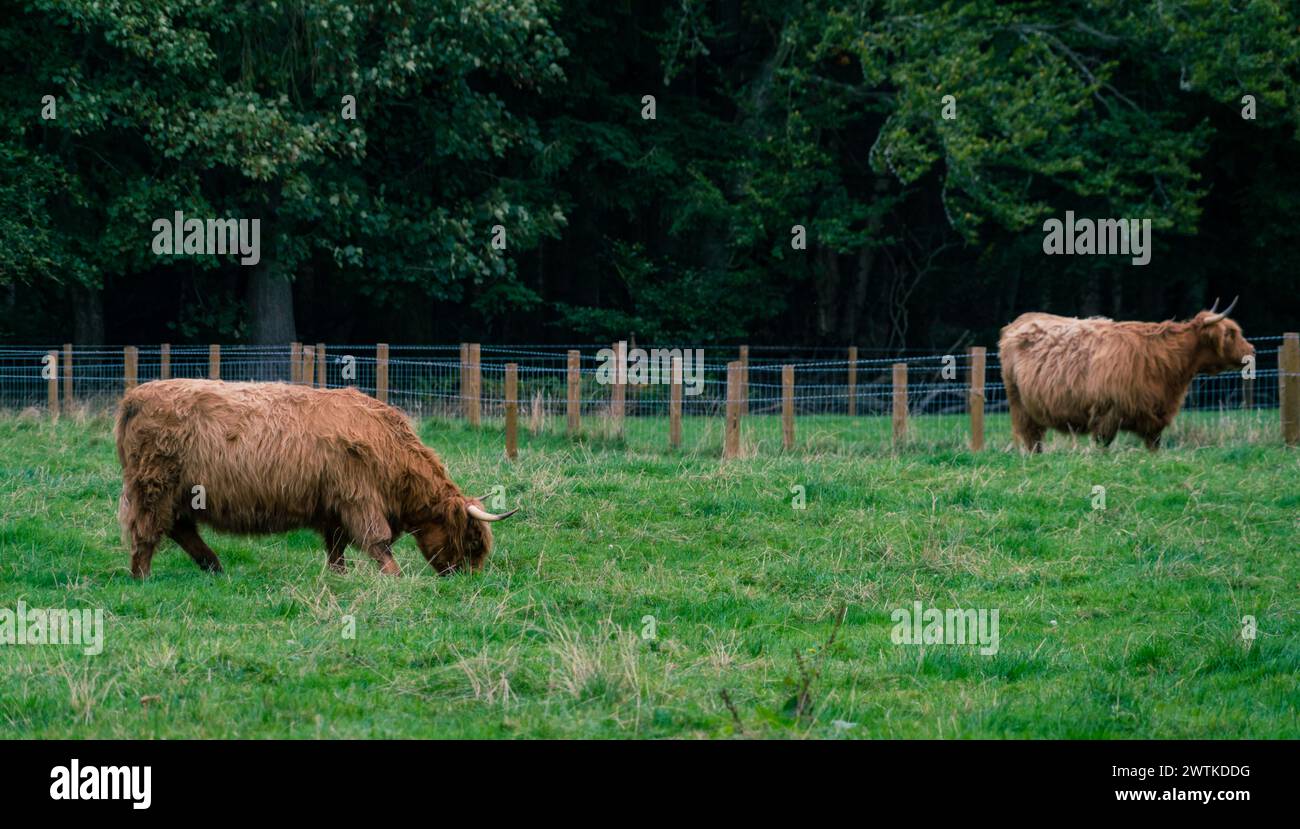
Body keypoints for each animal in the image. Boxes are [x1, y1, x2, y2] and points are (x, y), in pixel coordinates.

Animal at [115, 378, 517, 579]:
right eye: (472, 541)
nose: (469, 580)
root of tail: (135, 396)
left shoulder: (334, 506)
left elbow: (336, 545)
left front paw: (338, 577)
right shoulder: (359, 497)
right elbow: (377, 540)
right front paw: (395, 576)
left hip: (177, 491)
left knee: (180, 527)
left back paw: (213, 566)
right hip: (154, 485)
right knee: (147, 530)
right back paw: (143, 576)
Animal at [998, 298, 1254, 452]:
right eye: (1231, 333)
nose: (1252, 350)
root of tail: (1018, 322)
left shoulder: (1154, 421)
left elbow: (1154, 447)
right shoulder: (1106, 414)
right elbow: (1101, 447)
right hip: (1020, 406)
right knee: (1031, 439)